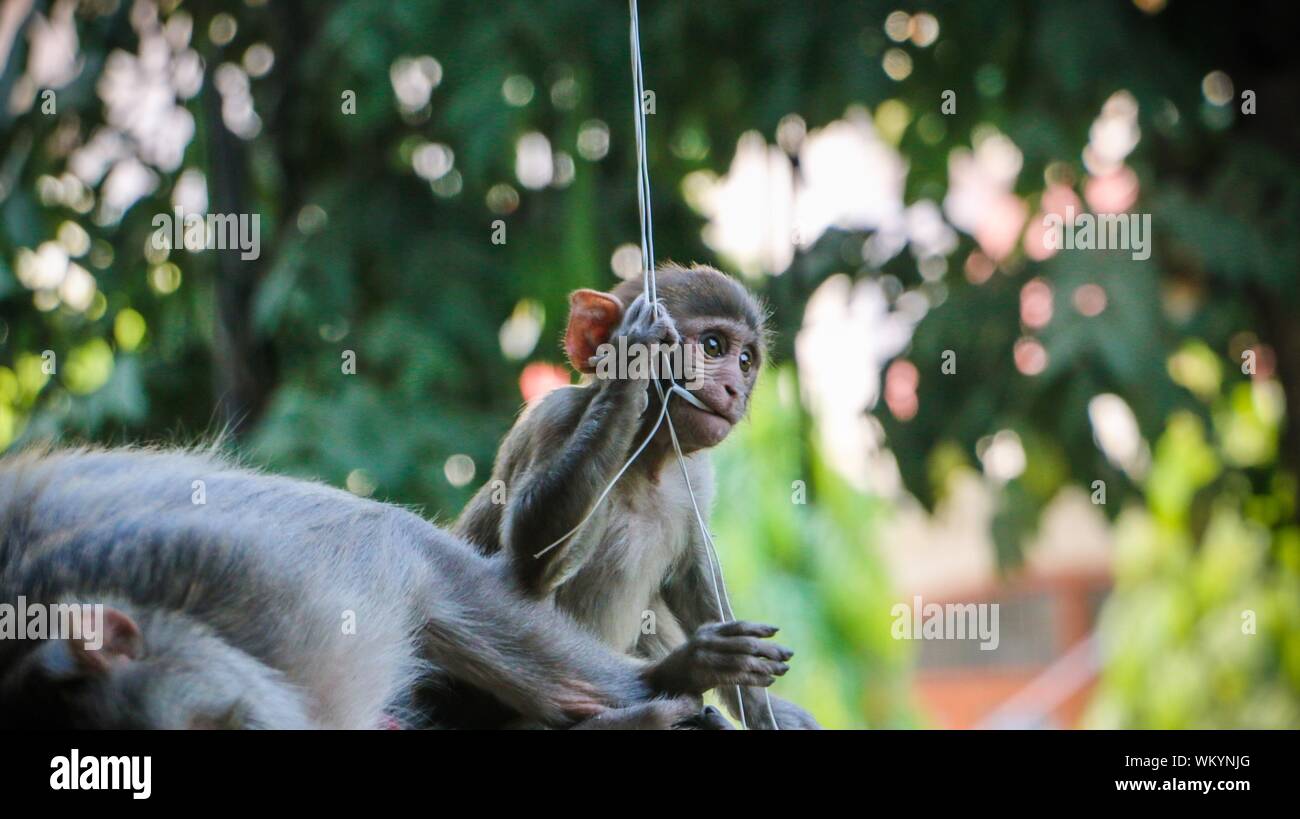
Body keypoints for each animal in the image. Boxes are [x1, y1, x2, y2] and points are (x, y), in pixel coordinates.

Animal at [455, 263, 821, 729]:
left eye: (745, 361)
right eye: (713, 346)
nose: (735, 391)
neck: (645, 462)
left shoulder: (695, 474)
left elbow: (694, 576)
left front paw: (764, 705)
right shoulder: (554, 418)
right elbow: (526, 558)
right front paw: (631, 358)